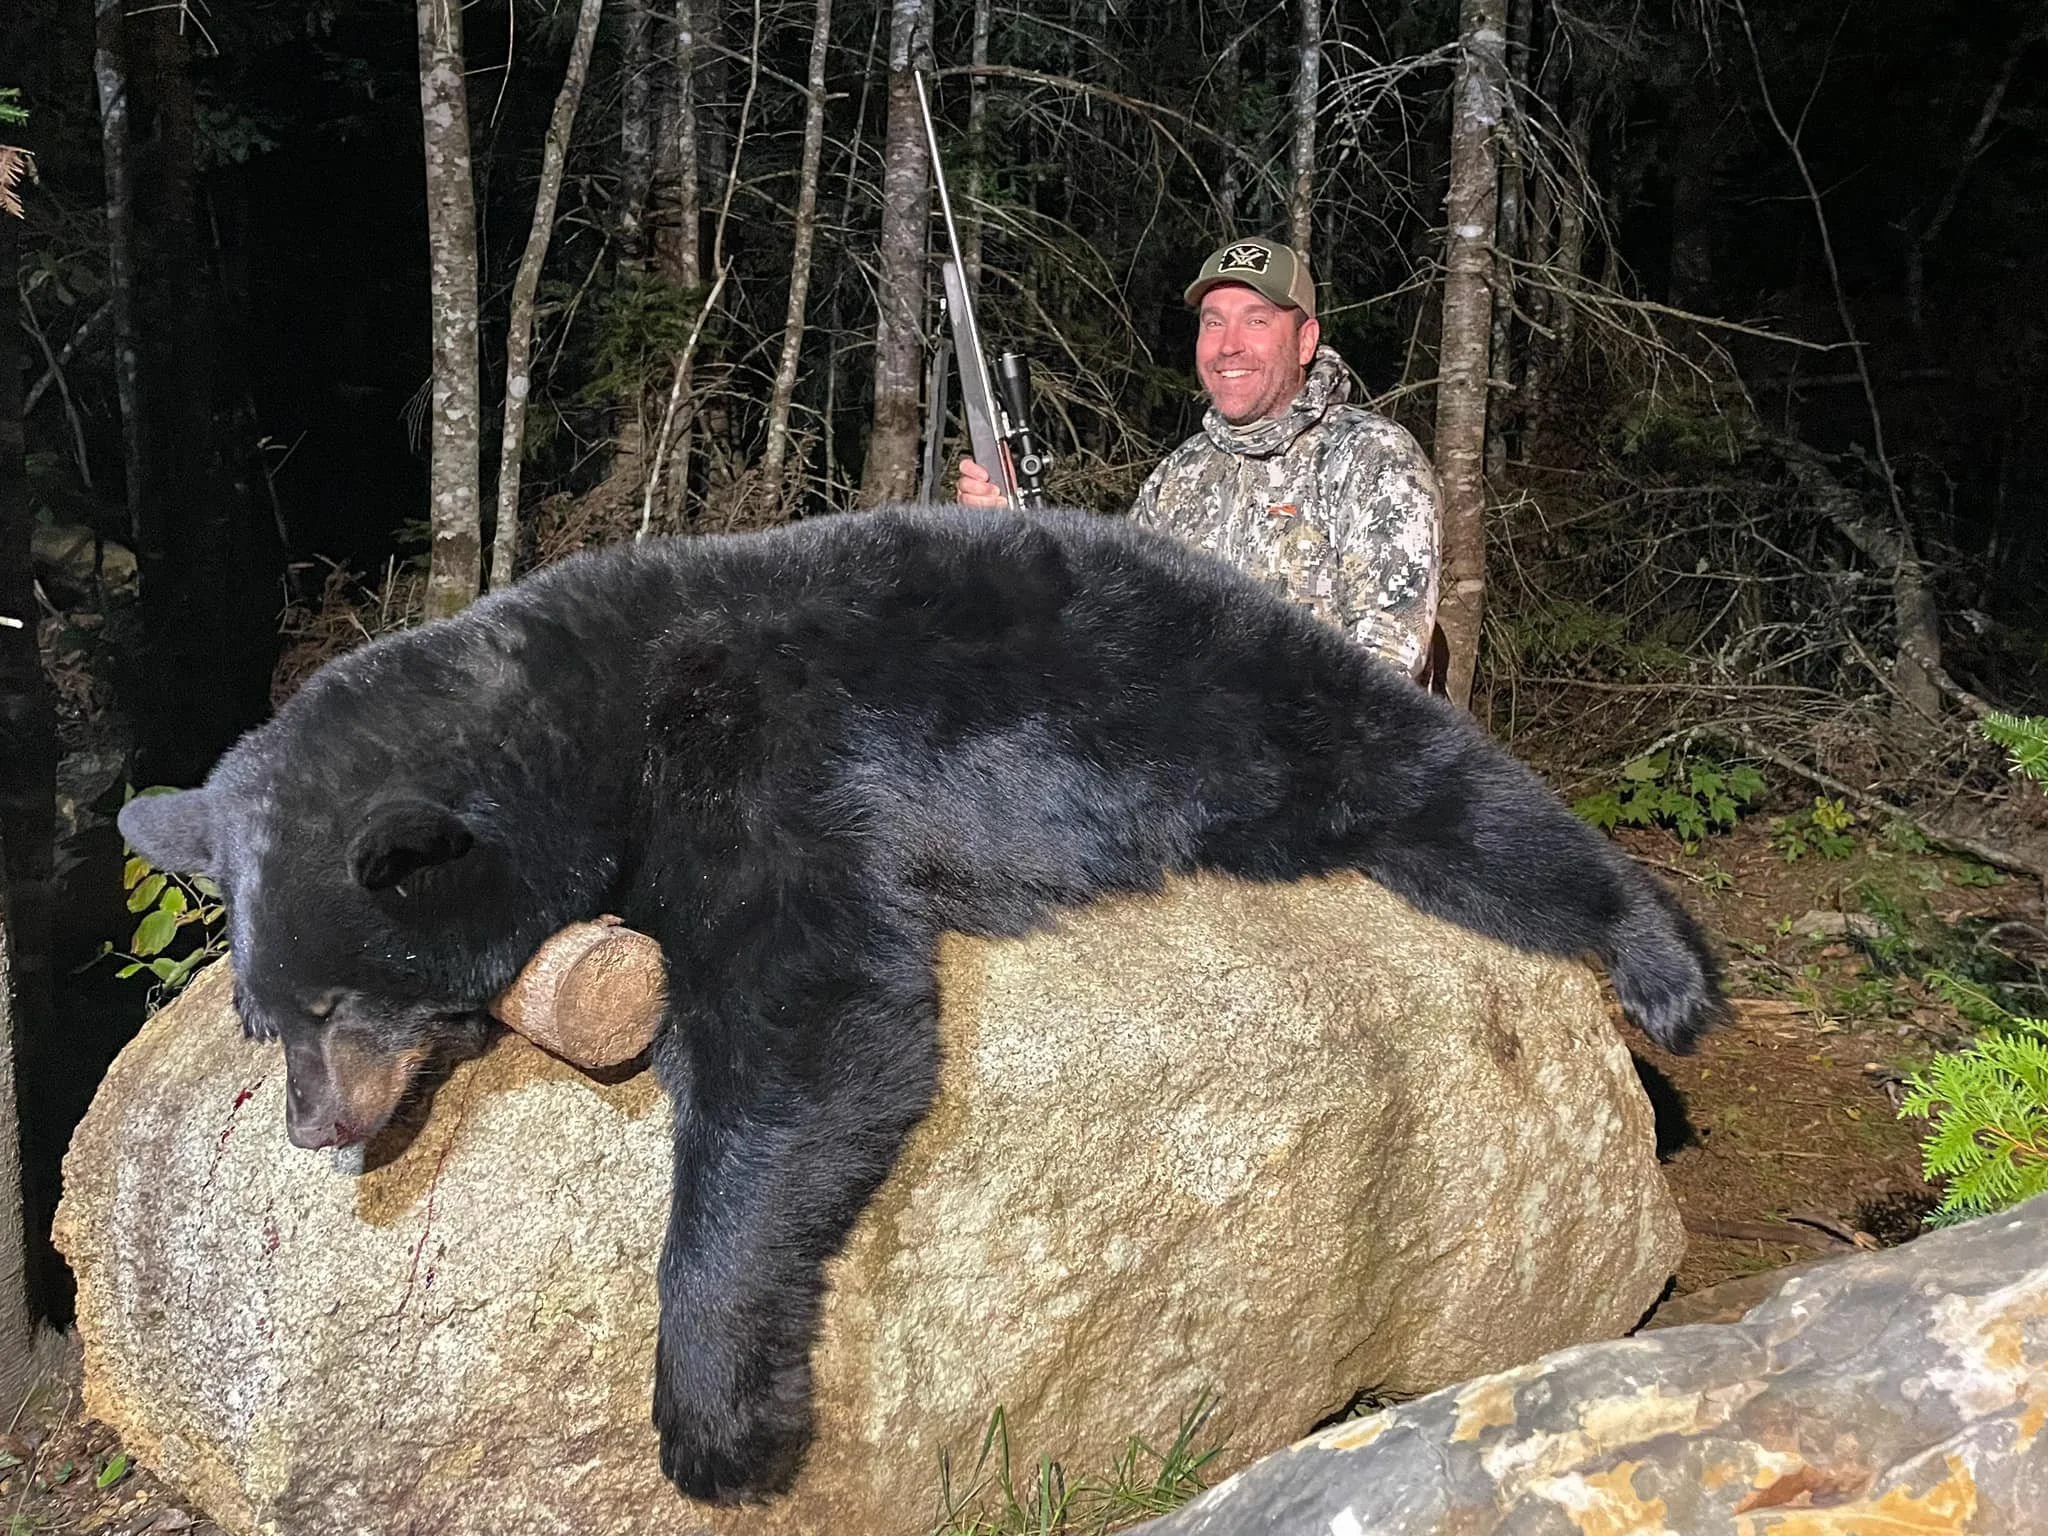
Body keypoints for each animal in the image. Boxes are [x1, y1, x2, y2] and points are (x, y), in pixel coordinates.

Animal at [118, 504, 1724, 1505]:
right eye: (264, 1020)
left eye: (341, 999)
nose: (318, 1131)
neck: (579, 720)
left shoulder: (755, 759)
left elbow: (814, 1017)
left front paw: (715, 1422)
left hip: (1250, 706)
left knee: (1449, 792)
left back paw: (1665, 968)